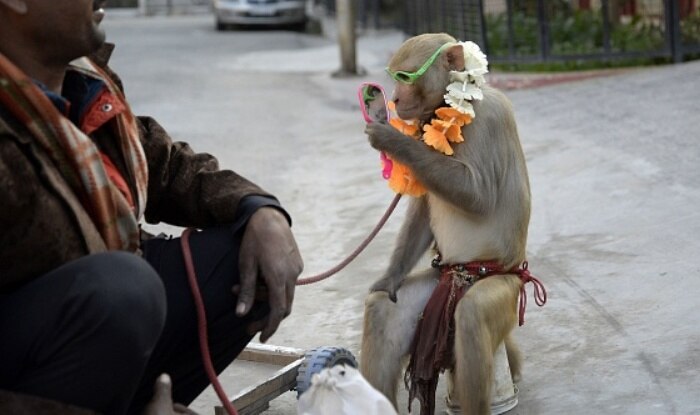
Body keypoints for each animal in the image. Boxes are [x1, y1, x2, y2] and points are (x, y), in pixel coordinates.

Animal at [360, 33, 532, 415]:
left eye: (405, 77)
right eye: (394, 77)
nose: (394, 99)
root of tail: (460, 273)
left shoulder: (489, 121)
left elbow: (477, 194)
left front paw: (391, 139)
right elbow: (423, 212)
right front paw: (388, 278)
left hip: (506, 290)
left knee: (471, 318)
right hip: (436, 288)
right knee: (382, 313)